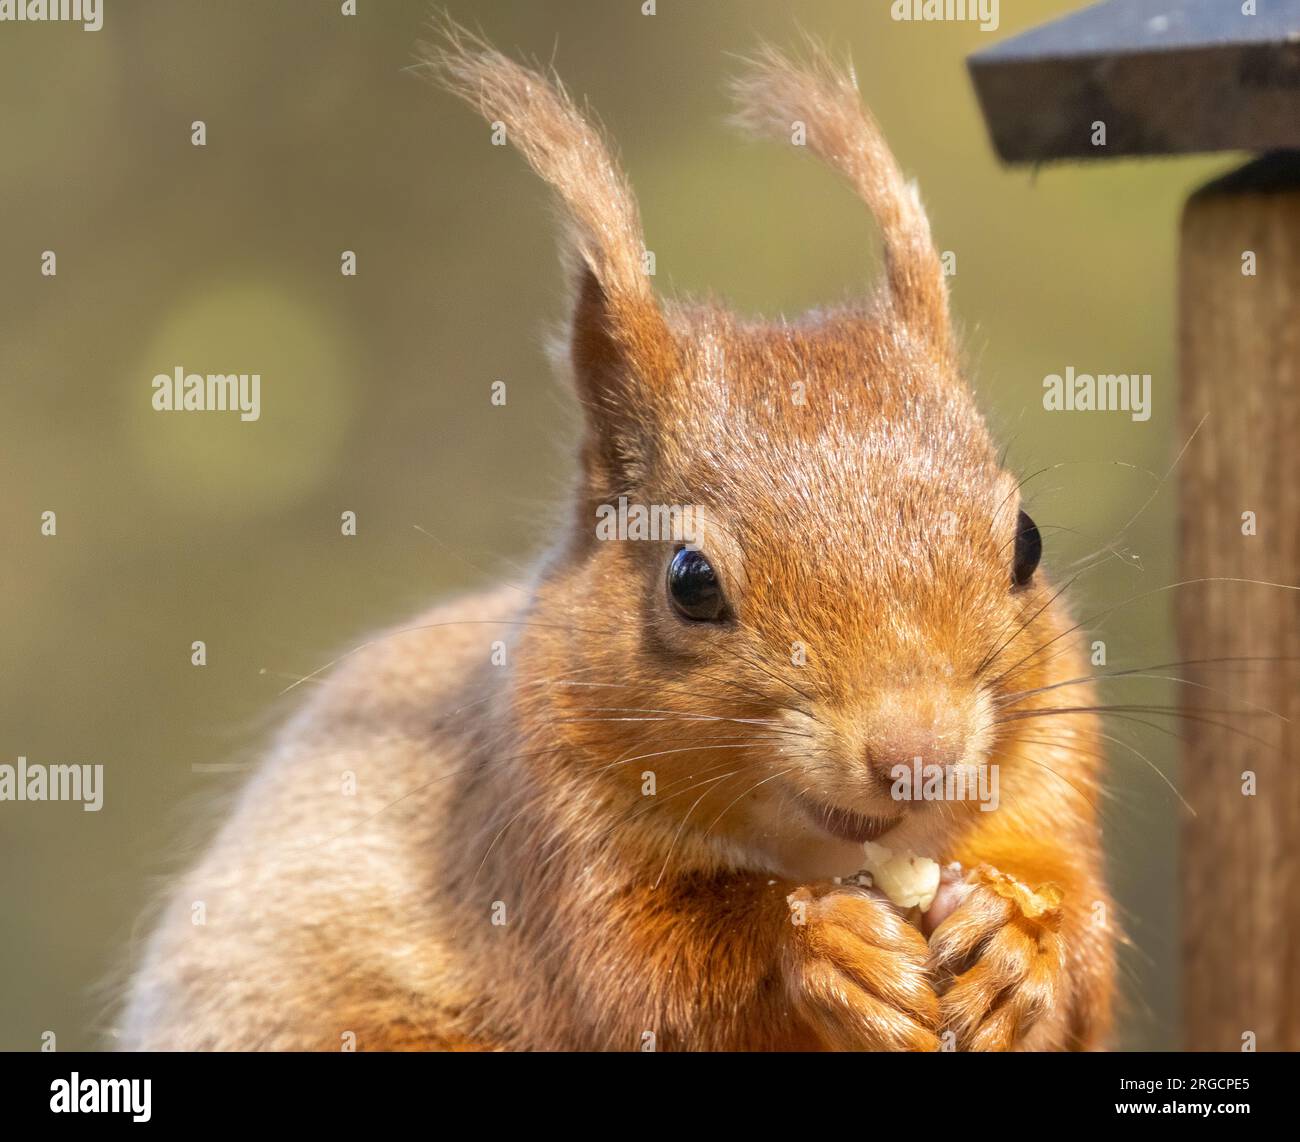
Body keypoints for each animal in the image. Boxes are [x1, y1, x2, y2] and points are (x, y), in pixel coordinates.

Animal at [119, 23, 1116, 1052]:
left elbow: (1083, 934)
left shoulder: (1054, 768)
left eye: (1026, 544)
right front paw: (820, 942)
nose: (916, 754)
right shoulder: (537, 824)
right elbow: (647, 978)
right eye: (690, 579)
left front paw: (1017, 941)